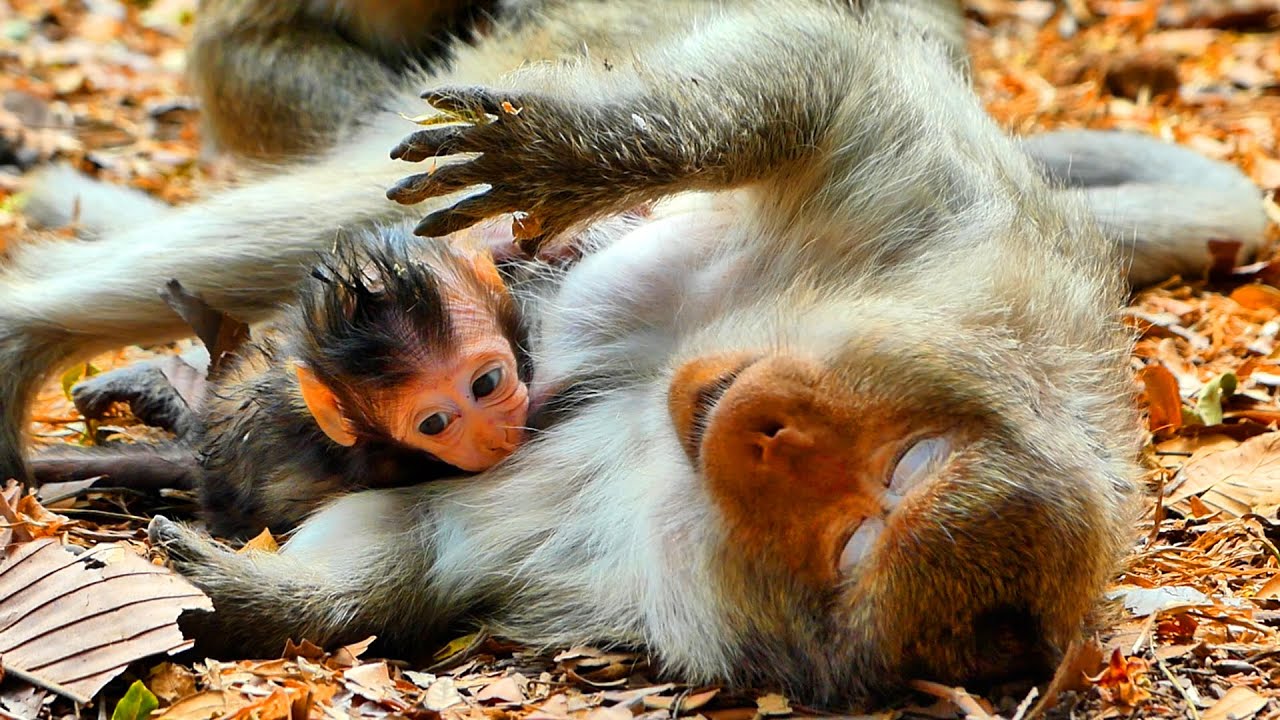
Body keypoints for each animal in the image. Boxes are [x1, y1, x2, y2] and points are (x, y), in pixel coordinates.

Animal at [1, 0, 1273, 707]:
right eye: (902, 458)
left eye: (853, 529)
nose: (760, 427)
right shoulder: (966, 245)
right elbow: (822, 85)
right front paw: (572, 153)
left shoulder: (643, 555)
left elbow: (430, 547)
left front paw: (252, 600)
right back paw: (36, 335)